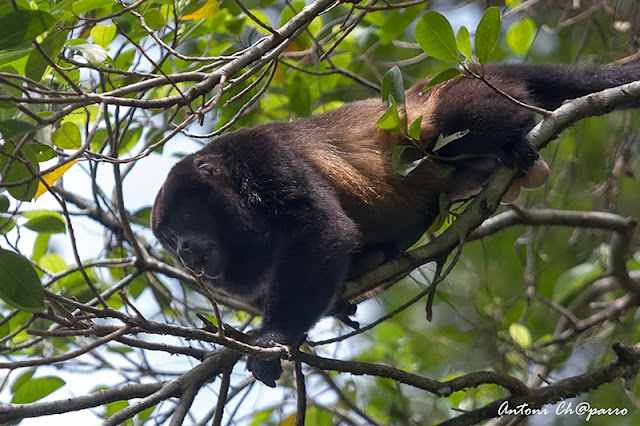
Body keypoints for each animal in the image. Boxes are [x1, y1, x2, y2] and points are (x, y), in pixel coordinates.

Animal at [151, 64, 640, 387]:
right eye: (170, 240)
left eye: (186, 219)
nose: (186, 252)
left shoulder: (263, 156)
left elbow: (320, 228)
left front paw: (272, 338)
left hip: (470, 95)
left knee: (451, 121)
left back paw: (511, 139)